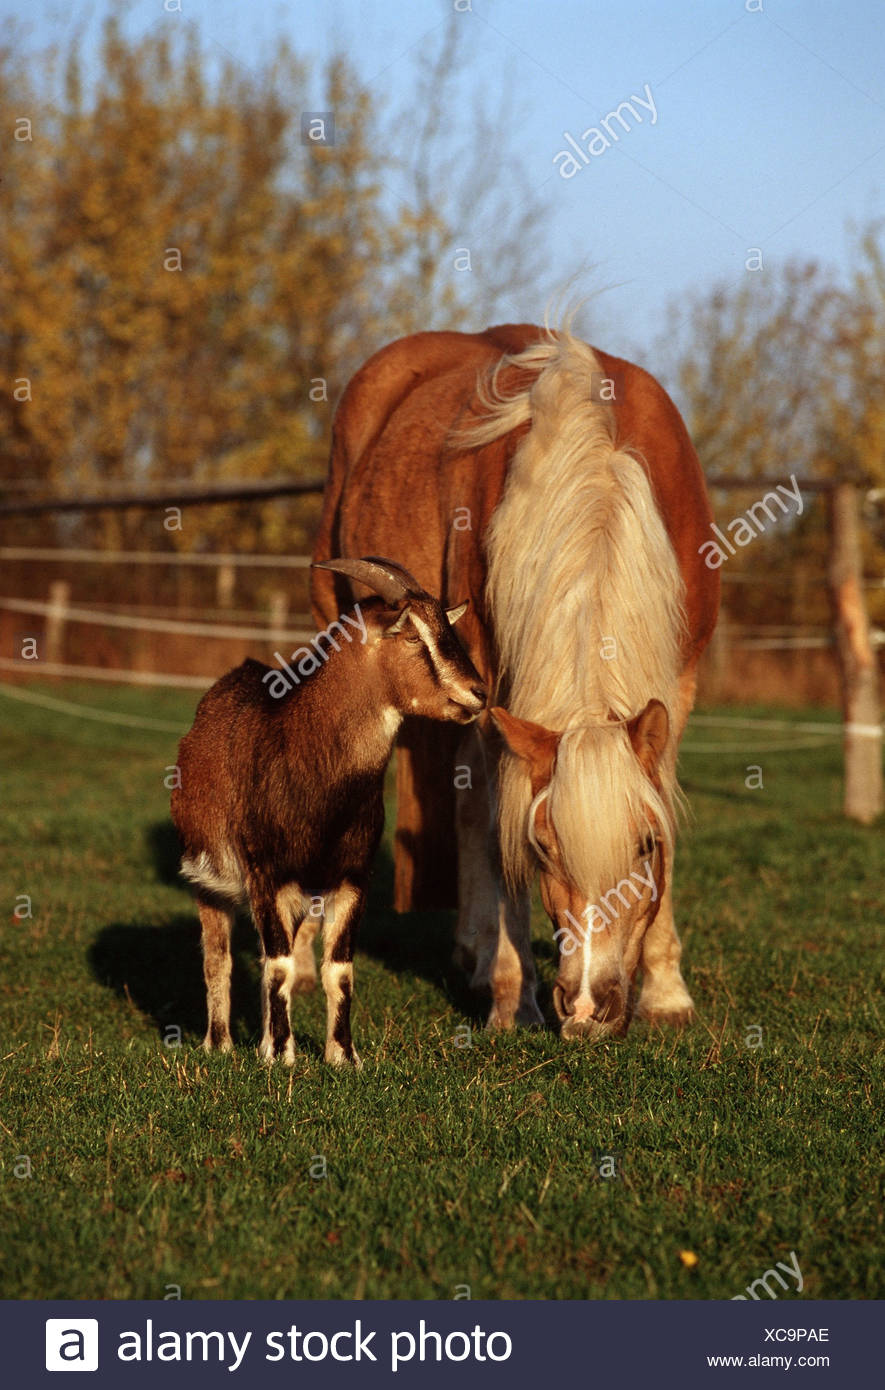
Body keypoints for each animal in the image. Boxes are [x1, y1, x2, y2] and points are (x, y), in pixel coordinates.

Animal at [170, 557, 486, 1067]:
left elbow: (338, 968)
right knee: (218, 956)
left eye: (446, 627)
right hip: (208, 878)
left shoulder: (350, 877)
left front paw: (343, 1056)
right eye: (412, 636)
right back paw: (219, 1044)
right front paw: (281, 1056)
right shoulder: (266, 872)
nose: (478, 693)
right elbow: (278, 964)